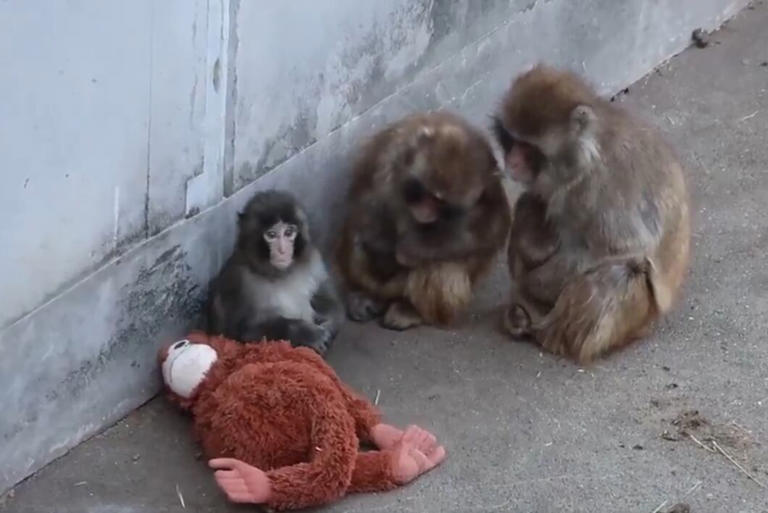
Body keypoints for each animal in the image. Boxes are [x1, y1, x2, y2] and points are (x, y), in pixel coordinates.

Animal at [207, 190, 344, 356]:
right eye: (271, 235)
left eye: (289, 232)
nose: (282, 250)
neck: (280, 273)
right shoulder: (237, 279)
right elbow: (240, 332)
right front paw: (308, 334)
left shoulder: (313, 260)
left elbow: (328, 300)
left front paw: (329, 325)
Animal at [336, 111, 512, 331]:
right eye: (425, 193)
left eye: (440, 202)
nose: (425, 212)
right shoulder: (386, 154)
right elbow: (364, 206)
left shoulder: (489, 182)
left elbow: (492, 226)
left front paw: (409, 250)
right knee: (356, 237)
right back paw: (369, 295)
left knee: (441, 265)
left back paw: (411, 310)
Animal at [491, 64, 691, 363]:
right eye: (512, 140)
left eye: (528, 148)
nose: (512, 161)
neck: (585, 156)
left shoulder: (601, 187)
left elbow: (621, 248)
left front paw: (529, 285)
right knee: (529, 202)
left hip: (637, 318)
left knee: (618, 274)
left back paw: (550, 336)